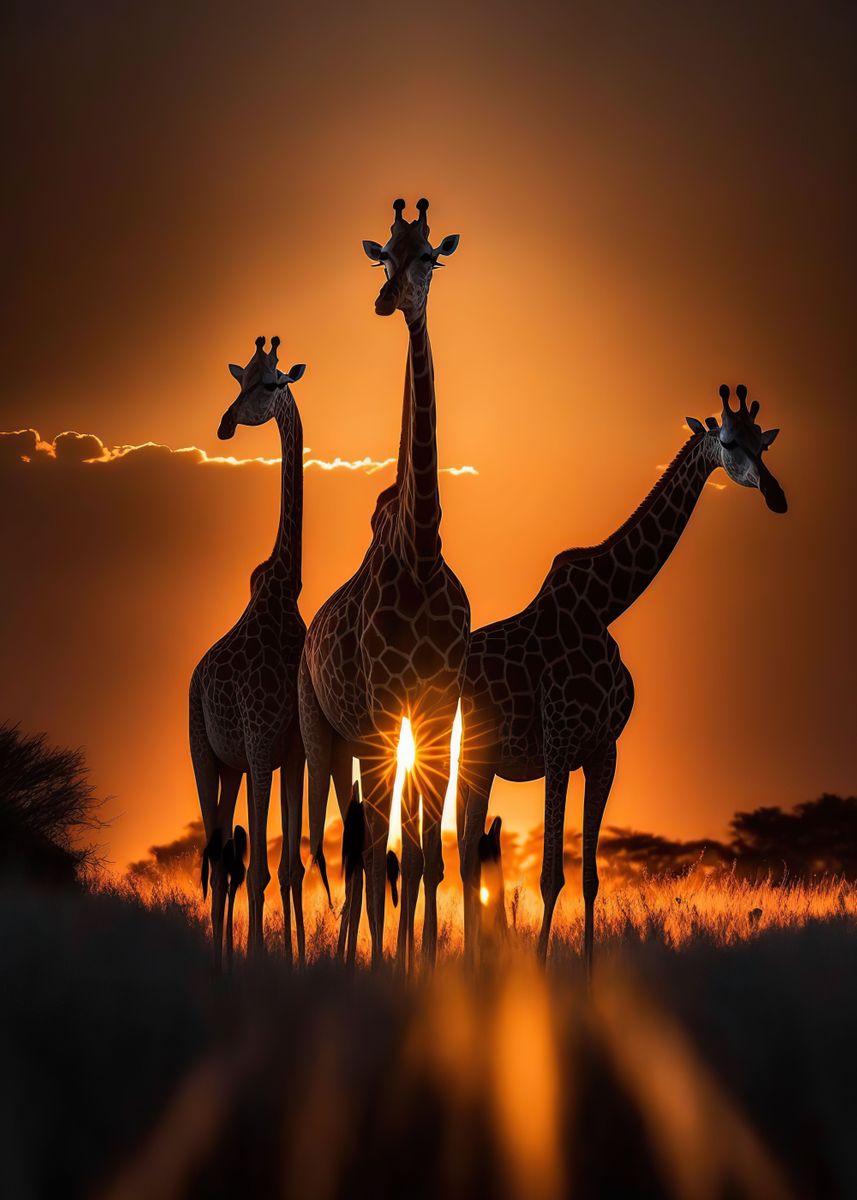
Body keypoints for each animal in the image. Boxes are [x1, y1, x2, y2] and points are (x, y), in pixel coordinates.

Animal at [458, 384, 787, 971]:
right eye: (728, 442)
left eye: (763, 444)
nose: (776, 496)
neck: (605, 605)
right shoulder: (560, 745)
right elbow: (549, 876)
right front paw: (540, 975)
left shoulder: (603, 750)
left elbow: (589, 879)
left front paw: (588, 976)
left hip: (484, 763)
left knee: (469, 855)